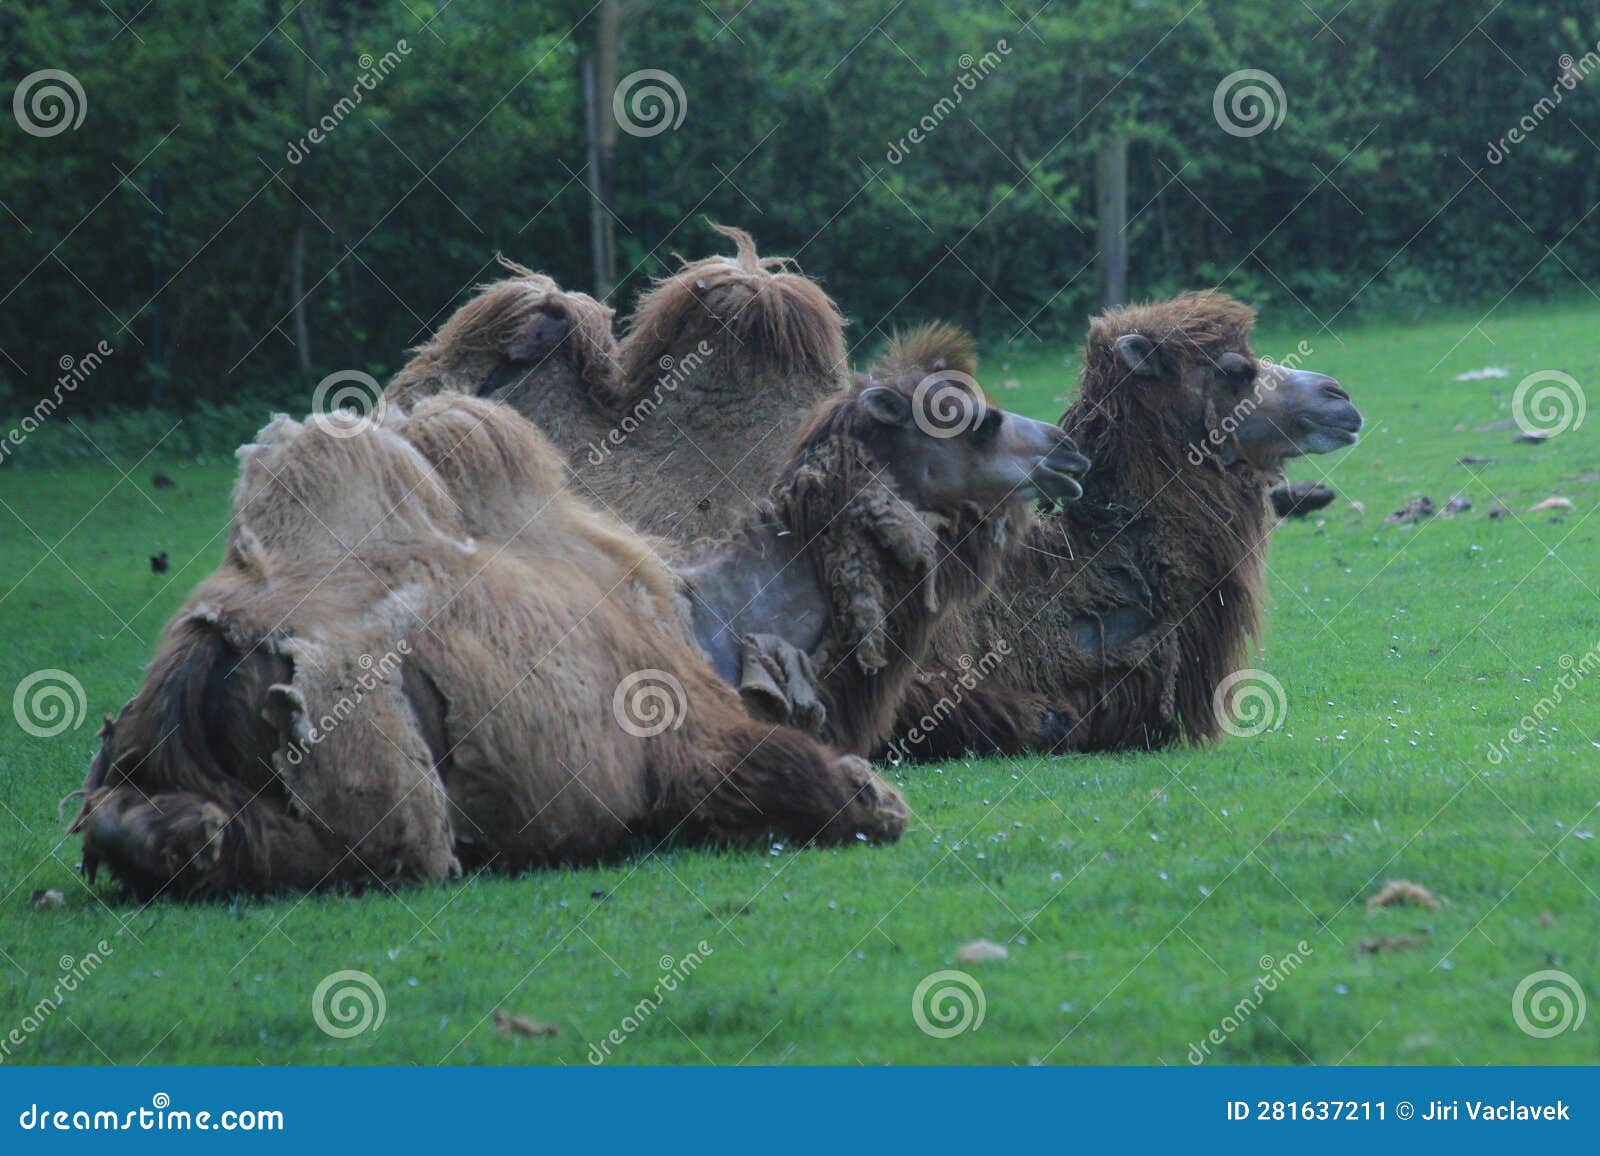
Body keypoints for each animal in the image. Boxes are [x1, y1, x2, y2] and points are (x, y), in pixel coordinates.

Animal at [69, 398, 908, 898]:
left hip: (138, 746)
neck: (701, 619)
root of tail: (202, 659)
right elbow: (794, 771)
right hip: (380, 789)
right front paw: (876, 797)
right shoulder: (678, 720)